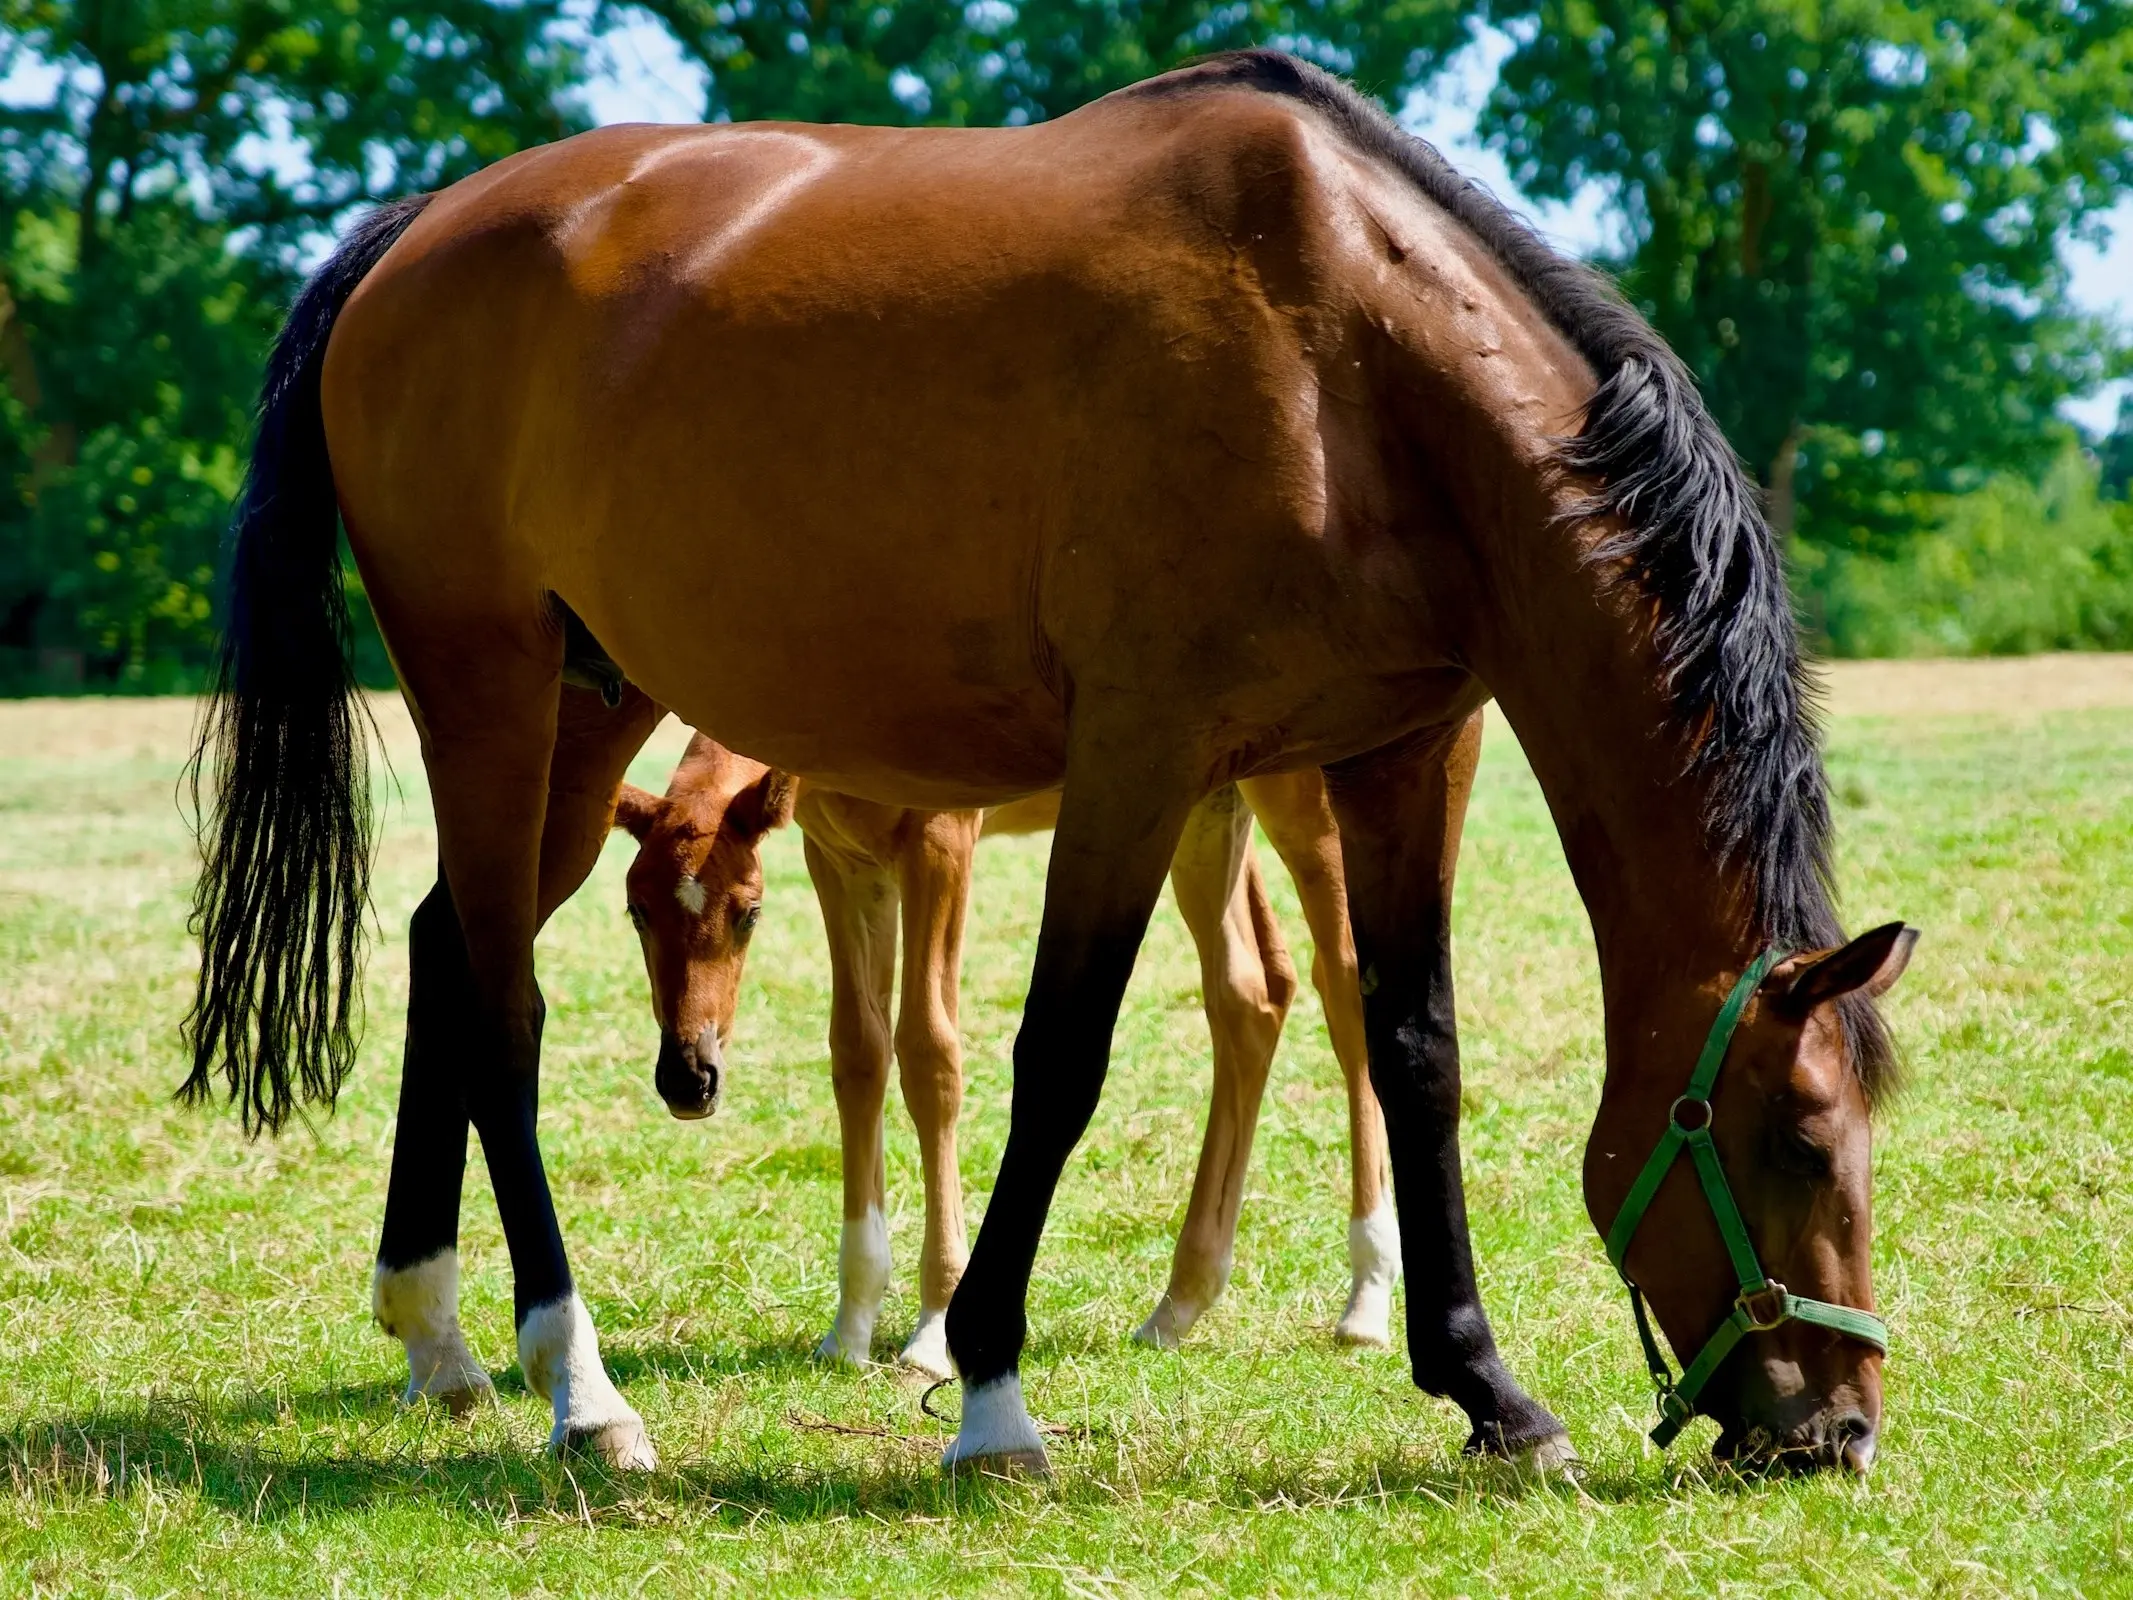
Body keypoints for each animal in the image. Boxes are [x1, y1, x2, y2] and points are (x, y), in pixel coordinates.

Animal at [609, 730, 1398, 1378]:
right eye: (636, 911)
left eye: (749, 913)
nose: (688, 1080)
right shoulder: (842, 859)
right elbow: (859, 1051)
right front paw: (851, 1326)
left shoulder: (941, 842)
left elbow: (929, 1052)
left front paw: (933, 1330)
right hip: (1208, 809)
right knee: (1248, 997)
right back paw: (1180, 1302)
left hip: (1308, 797)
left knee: (1345, 986)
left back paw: (1366, 1297)